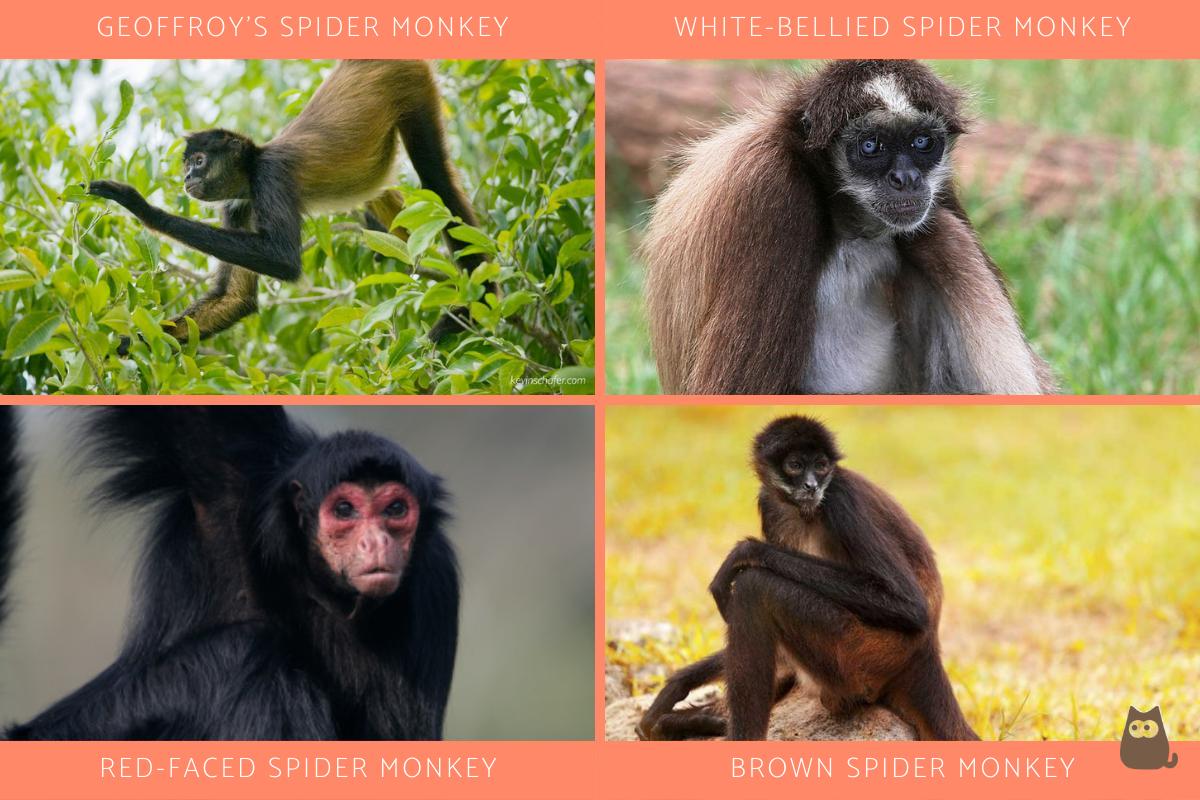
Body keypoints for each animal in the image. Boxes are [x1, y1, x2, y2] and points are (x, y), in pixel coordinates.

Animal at [88, 60, 484, 347]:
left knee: (437, 183)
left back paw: (471, 311)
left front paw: (141, 207)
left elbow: (283, 260)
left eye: (198, 161)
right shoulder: (238, 204)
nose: (186, 178)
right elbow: (235, 298)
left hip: (410, 81)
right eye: (186, 165)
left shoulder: (270, 176)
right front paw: (121, 348)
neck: (252, 168)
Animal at [637, 416, 978, 741]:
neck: (802, 509)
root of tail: (926, 651)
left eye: (822, 466)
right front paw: (679, 684)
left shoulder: (840, 496)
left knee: (754, 587)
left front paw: (746, 551)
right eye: (796, 465)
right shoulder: (768, 503)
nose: (812, 485)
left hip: (861, 655)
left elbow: (908, 606)